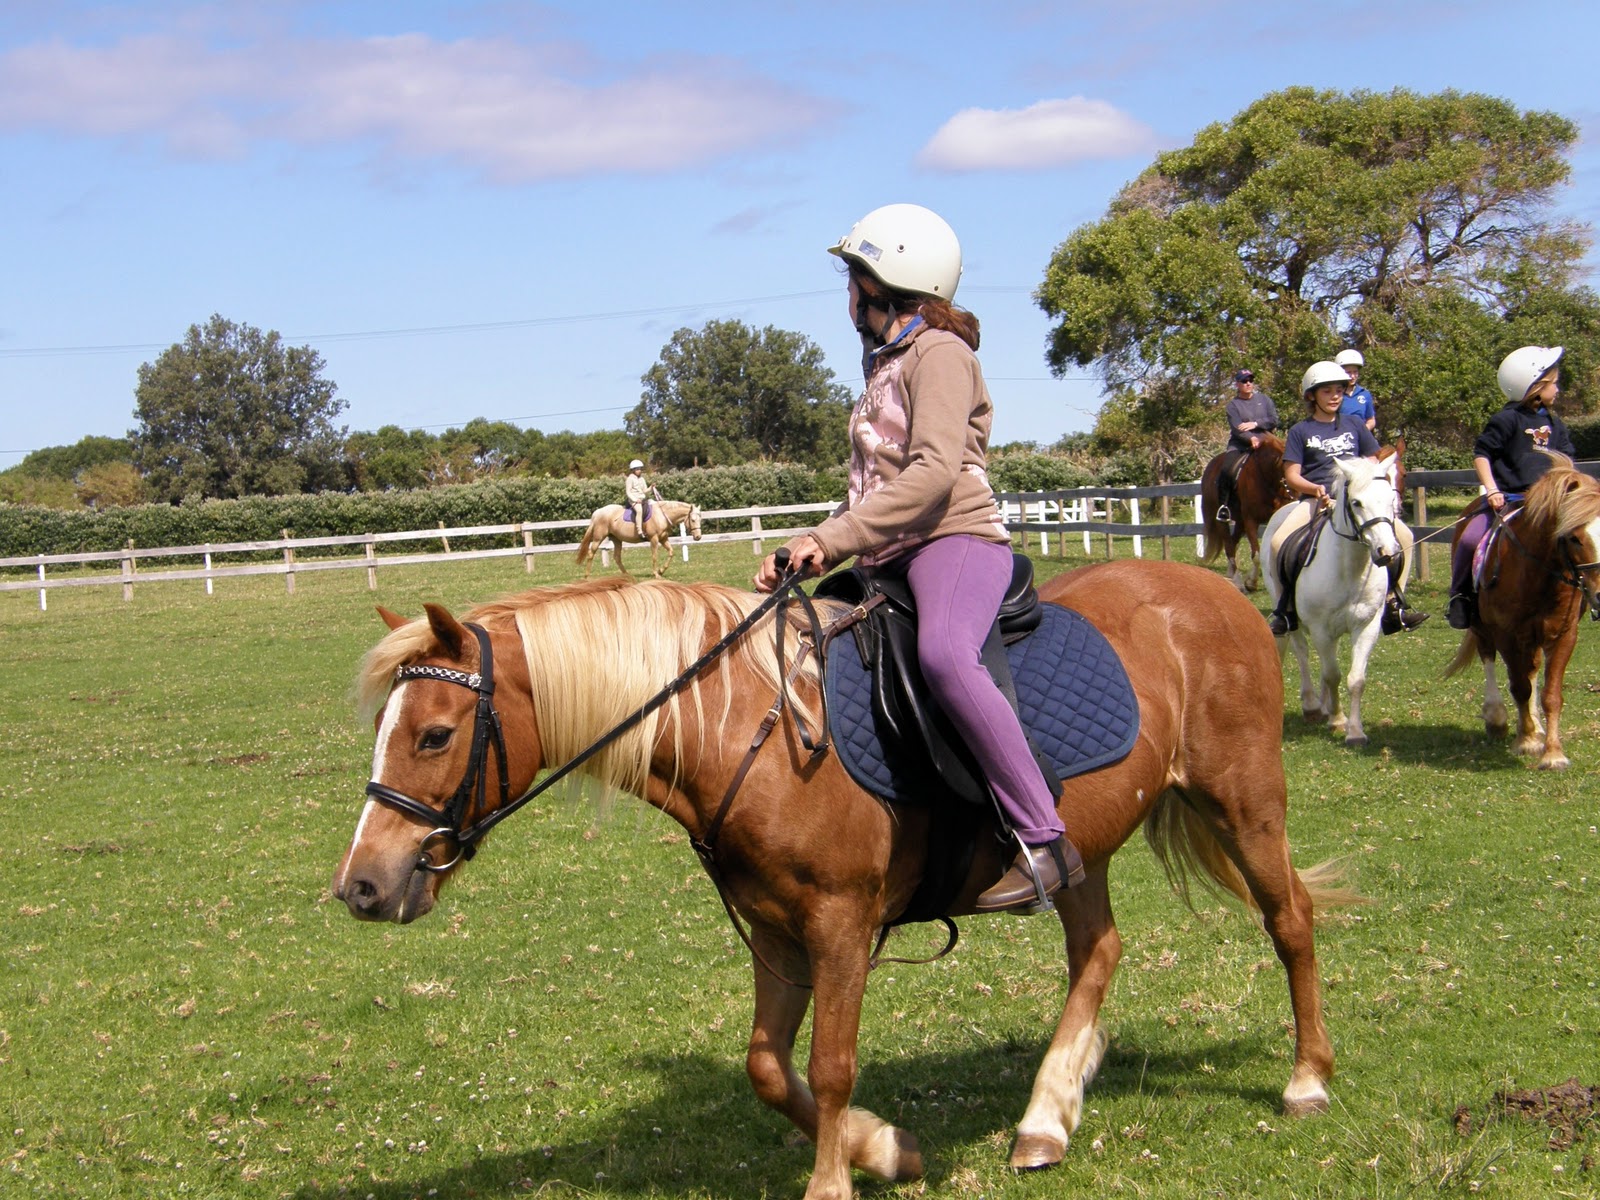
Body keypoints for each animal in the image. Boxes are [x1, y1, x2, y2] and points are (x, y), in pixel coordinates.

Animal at [332, 560, 1343, 1200]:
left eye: (434, 734)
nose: (363, 886)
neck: (754, 728)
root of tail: (1214, 589)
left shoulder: (839, 925)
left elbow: (829, 1061)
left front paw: (834, 1181)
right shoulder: (777, 931)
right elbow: (768, 1067)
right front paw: (887, 1150)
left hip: (1245, 804)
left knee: (1290, 919)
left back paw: (1305, 1080)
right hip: (1077, 850)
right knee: (1098, 951)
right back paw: (1048, 1114)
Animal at [1200, 433, 1290, 592]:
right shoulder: (1251, 521)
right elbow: (1257, 555)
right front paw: (1251, 582)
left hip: (1240, 522)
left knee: (1233, 542)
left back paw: (1231, 574)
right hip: (1222, 520)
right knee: (1229, 546)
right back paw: (1237, 581)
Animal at [1261, 456, 1404, 747]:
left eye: (1390, 497)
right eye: (1357, 502)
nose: (1388, 552)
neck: (1350, 569)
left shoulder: (1367, 626)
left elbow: (1356, 679)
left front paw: (1355, 731)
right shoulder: (1320, 629)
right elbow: (1332, 674)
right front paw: (1338, 721)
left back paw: (1326, 707)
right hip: (1291, 617)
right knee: (1302, 653)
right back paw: (1313, 706)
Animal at [1444, 464, 1600, 770]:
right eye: (1575, 537)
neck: (1538, 573)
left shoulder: (1562, 635)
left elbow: (1551, 694)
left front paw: (1552, 753)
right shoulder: (1507, 634)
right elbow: (1519, 687)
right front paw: (1526, 741)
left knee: (1532, 668)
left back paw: (1535, 726)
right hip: (1483, 628)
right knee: (1488, 657)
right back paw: (1497, 718)